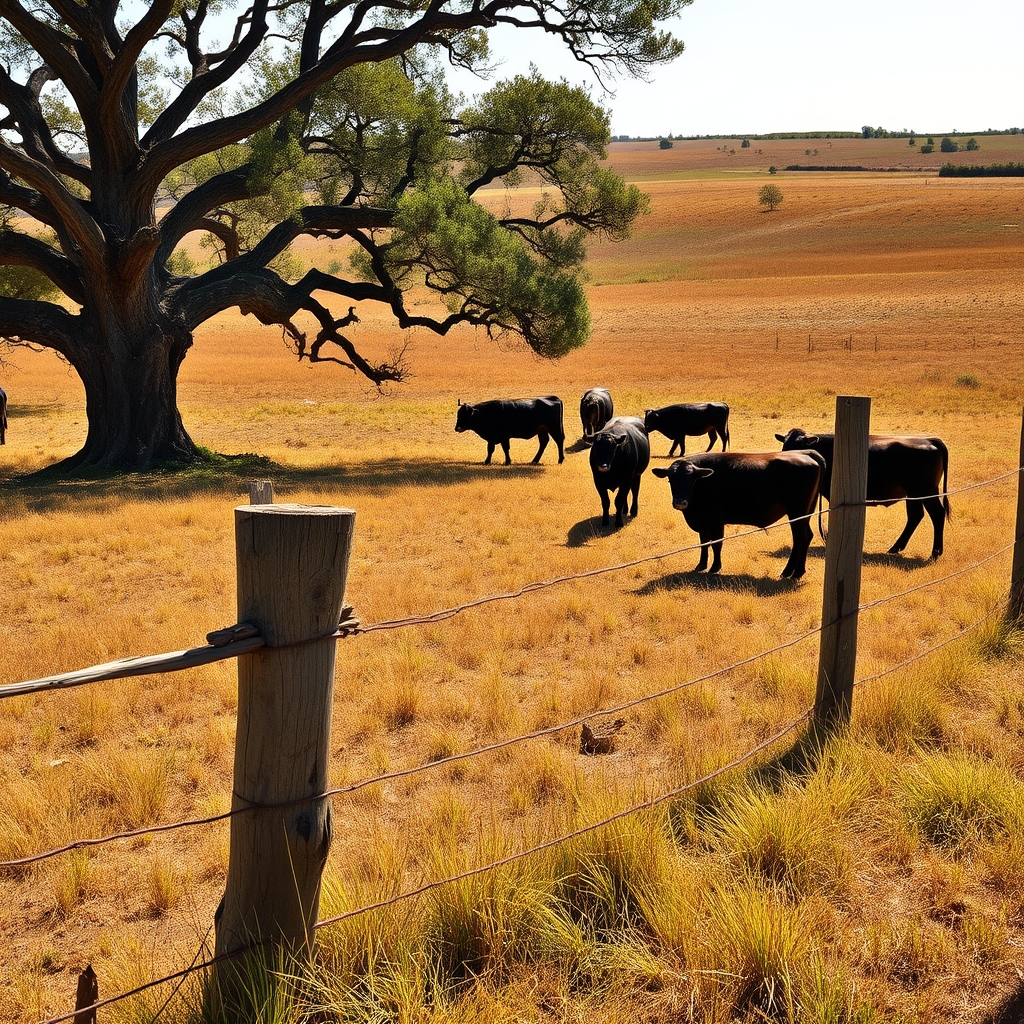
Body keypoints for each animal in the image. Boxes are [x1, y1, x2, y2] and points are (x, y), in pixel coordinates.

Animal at [651, 450, 826, 578]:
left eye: (691, 479)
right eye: (670, 479)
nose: (680, 502)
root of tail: (805, 453)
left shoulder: (715, 519)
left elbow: (716, 543)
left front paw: (715, 567)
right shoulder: (702, 523)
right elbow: (704, 543)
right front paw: (701, 565)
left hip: (797, 513)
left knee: (800, 538)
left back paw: (793, 572)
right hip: (805, 513)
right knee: (804, 537)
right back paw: (794, 571)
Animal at [775, 428, 951, 559]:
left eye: (800, 444)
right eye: (785, 445)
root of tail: (930, 440)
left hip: (926, 490)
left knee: (937, 514)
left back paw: (935, 553)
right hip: (914, 494)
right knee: (915, 516)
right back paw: (896, 547)